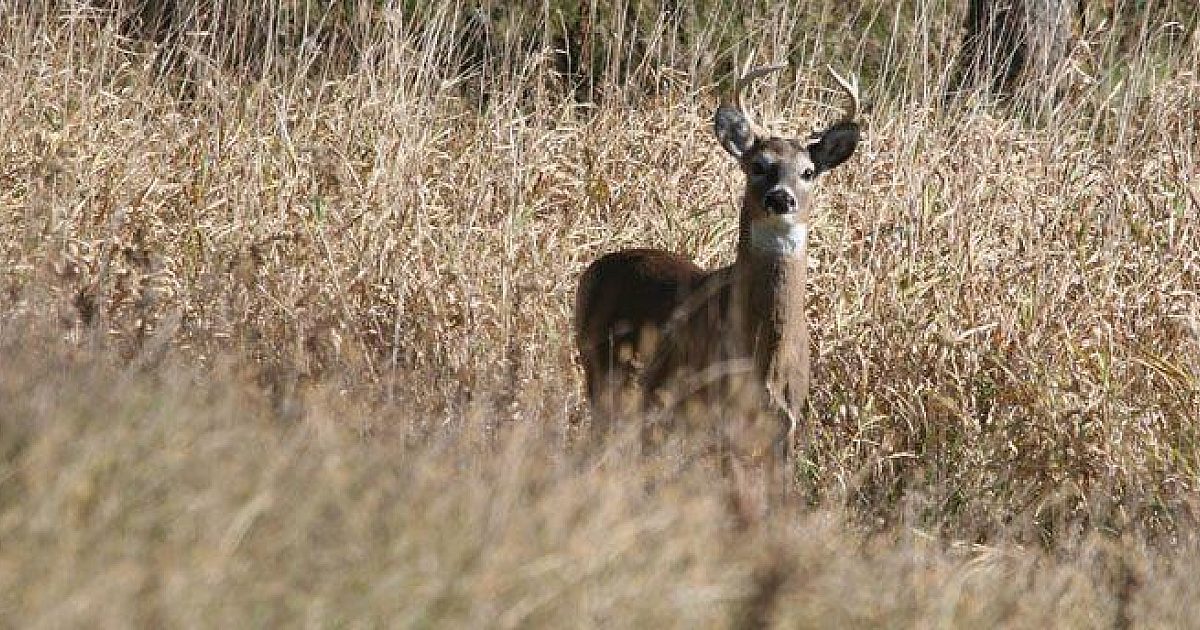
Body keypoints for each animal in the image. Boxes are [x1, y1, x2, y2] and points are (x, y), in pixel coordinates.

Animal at [573, 62, 861, 479]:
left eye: (808, 172)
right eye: (758, 166)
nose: (781, 198)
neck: (766, 355)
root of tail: (593, 268)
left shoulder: (788, 421)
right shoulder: (722, 410)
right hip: (597, 365)